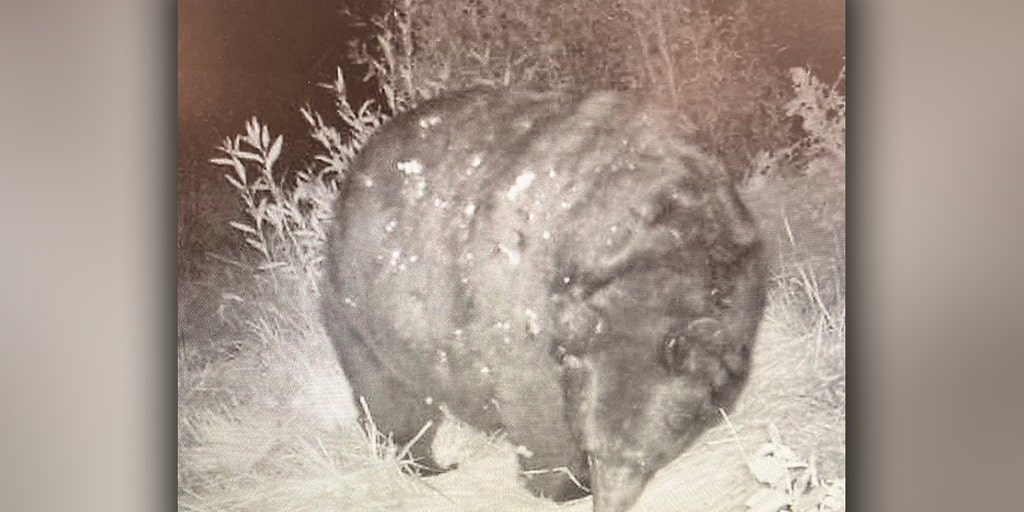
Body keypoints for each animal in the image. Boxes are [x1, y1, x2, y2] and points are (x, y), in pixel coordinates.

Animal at [321, 88, 766, 512]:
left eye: (640, 458)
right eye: (594, 450)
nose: (608, 503)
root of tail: (354, 174)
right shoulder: (524, 306)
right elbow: (537, 406)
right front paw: (564, 484)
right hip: (364, 308)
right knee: (390, 396)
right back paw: (425, 463)